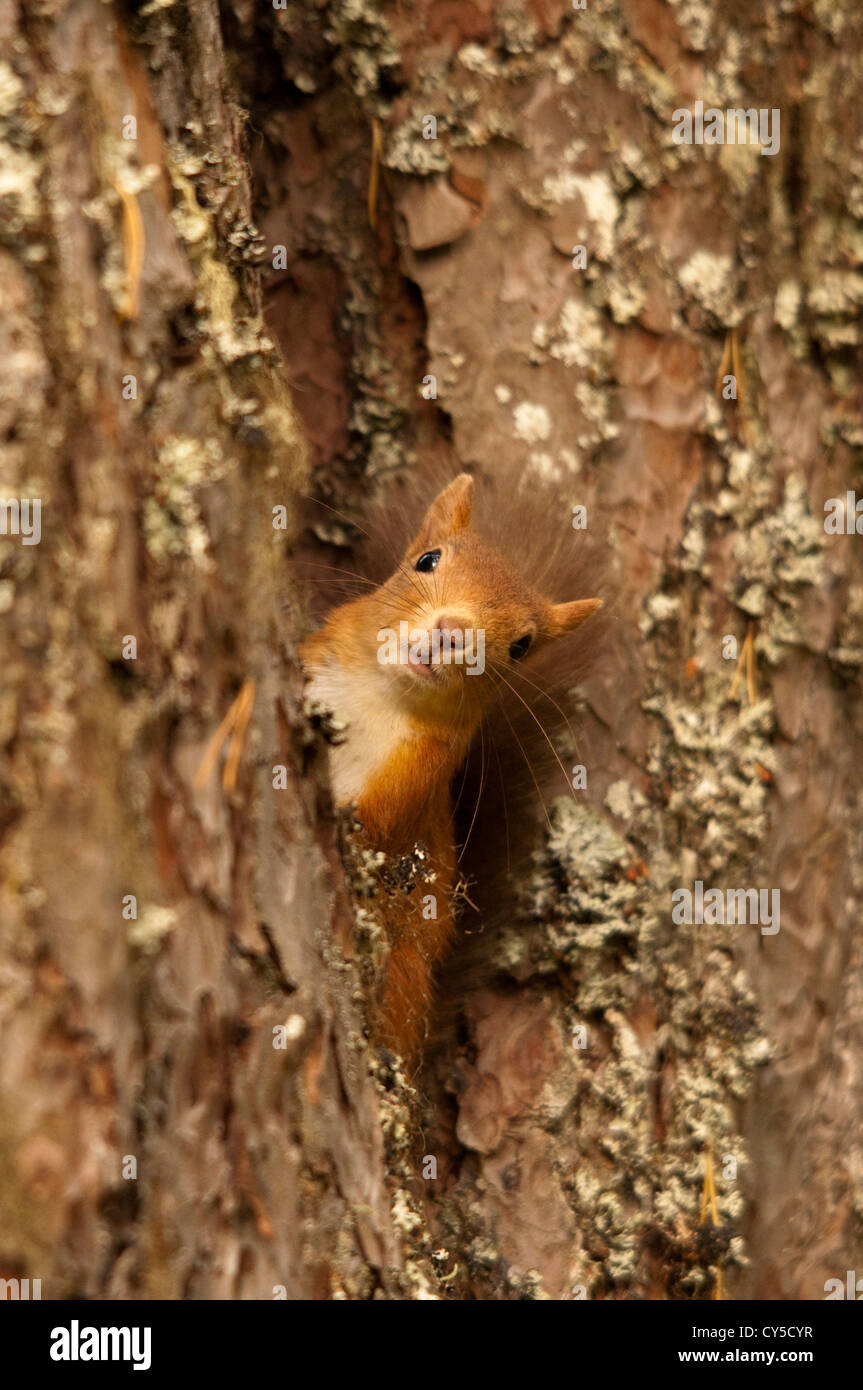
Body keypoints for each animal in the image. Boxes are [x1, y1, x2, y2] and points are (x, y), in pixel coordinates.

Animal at [300, 470, 603, 1064]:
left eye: (521, 645)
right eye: (428, 559)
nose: (453, 632)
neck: (377, 697)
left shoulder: (414, 781)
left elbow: (374, 829)